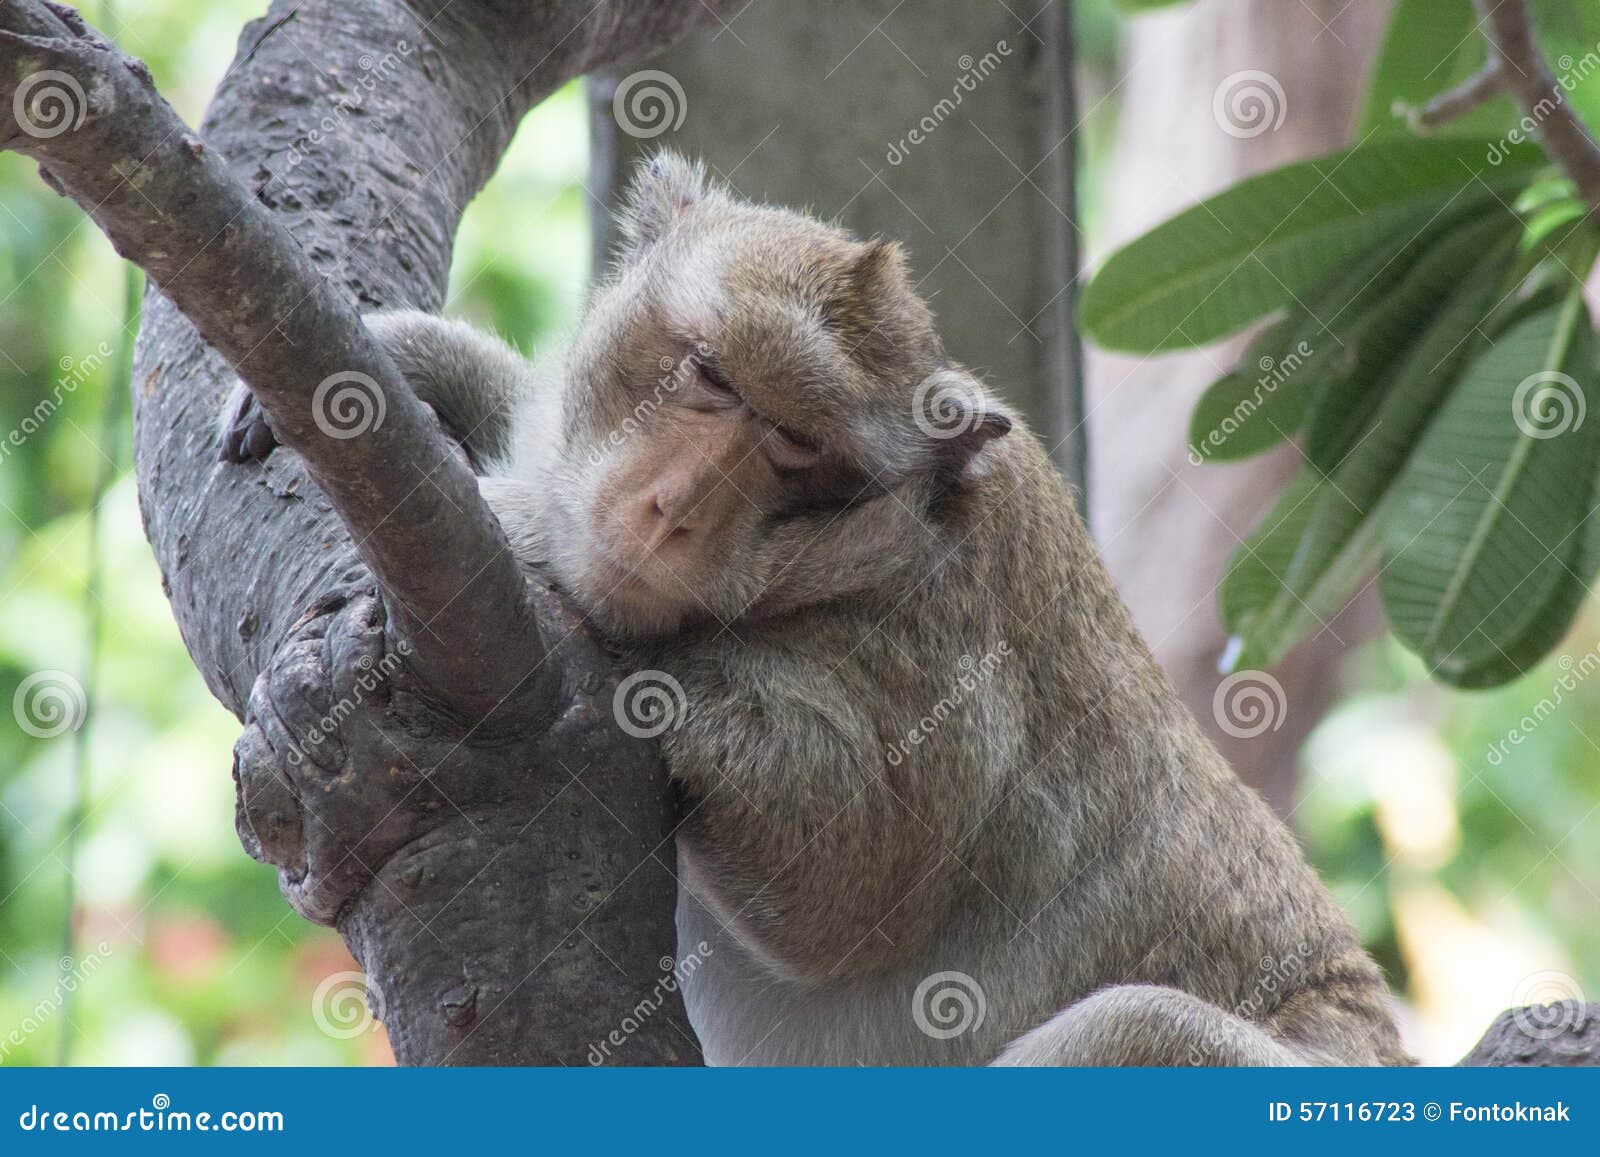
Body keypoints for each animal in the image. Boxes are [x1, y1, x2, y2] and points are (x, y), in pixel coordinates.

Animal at [227, 152, 1411, 1066]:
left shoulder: (935, 652)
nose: (674, 508)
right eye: (709, 374)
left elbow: (844, 878)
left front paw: (542, 562)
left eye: (796, 443)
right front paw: (418, 361)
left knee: (1135, 1027)